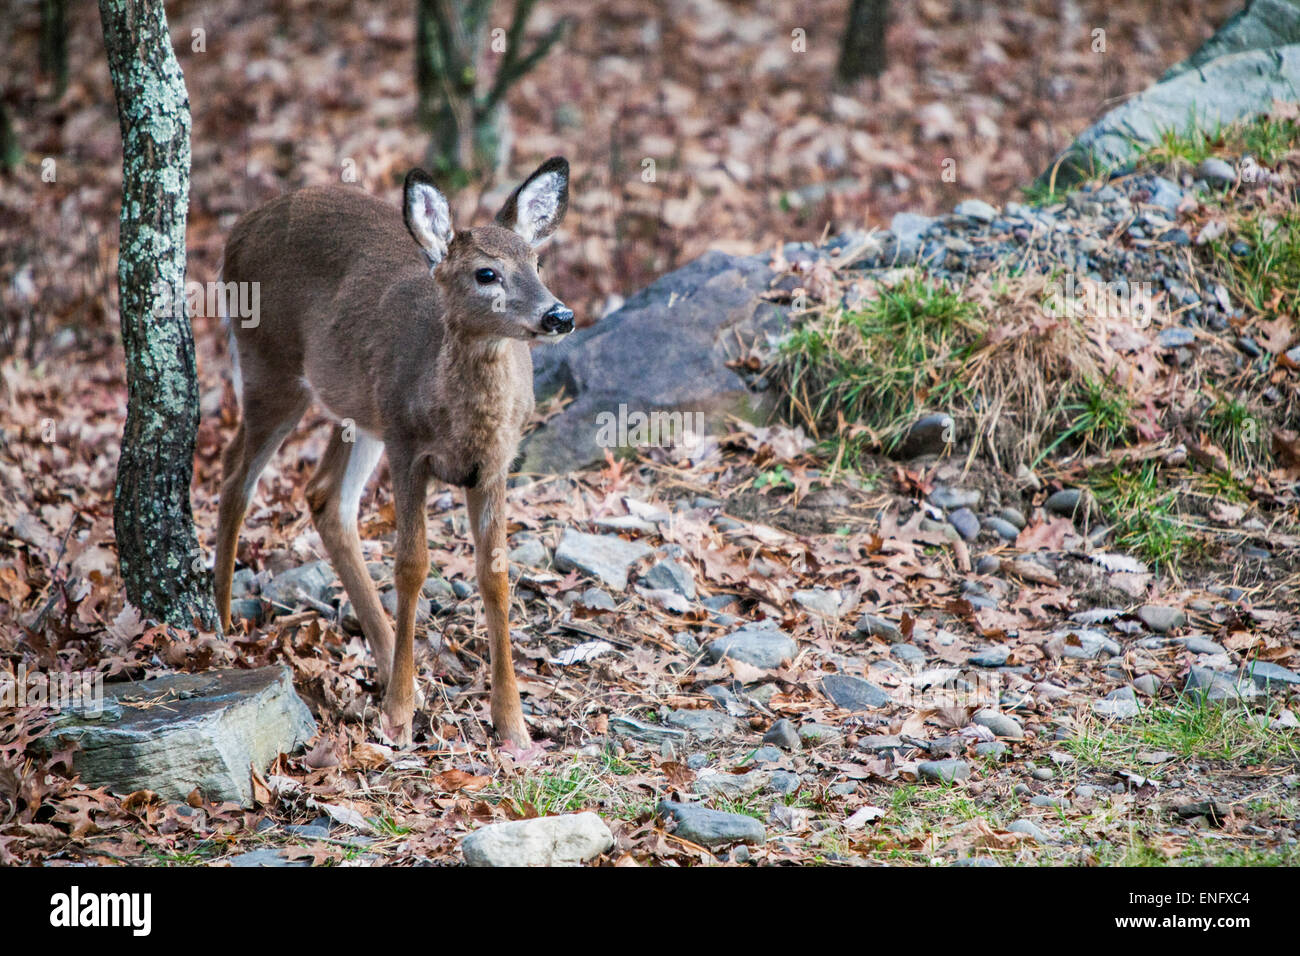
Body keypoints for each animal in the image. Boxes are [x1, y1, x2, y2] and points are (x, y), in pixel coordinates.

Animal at [212, 157, 574, 748]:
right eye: (486, 274)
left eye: (537, 262)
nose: (558, 316)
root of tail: (240, 229)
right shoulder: (407, 448)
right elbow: (411, 565)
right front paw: (399, 715)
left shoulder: (496, 463)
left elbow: (495, 573)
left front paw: (514, 725)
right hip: (271, 363)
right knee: (234, 474)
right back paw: (218, 625)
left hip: (360, 411)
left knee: (323, 496)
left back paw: (384, 660)